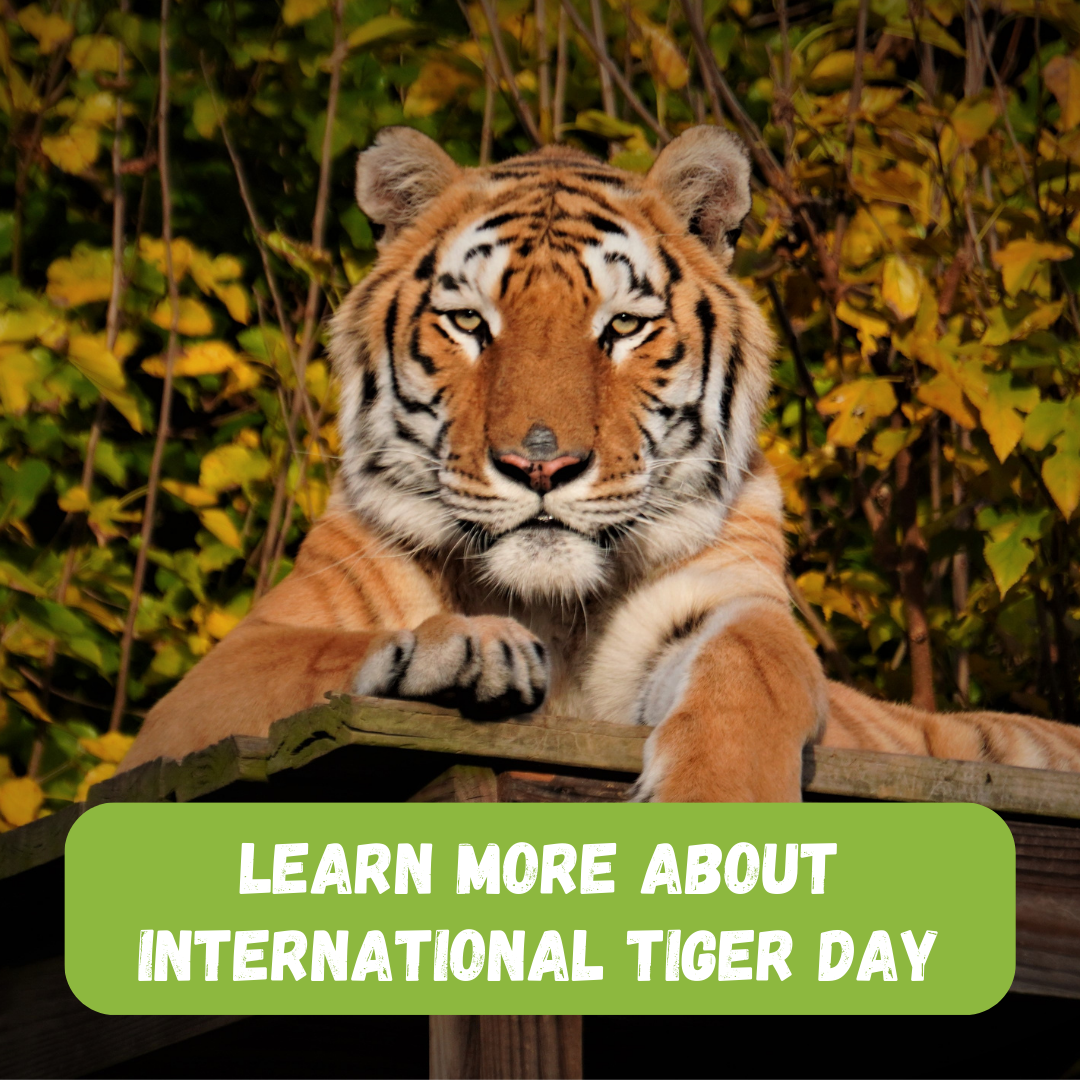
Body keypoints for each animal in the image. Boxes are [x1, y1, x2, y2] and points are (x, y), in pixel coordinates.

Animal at [120, 125, 1080, 799]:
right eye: (468, 322)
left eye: (622, 326)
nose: (541, 466)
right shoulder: (198, 693)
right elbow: (319, 652)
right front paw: (461, 646)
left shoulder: (735, 606)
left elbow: (756, 667)